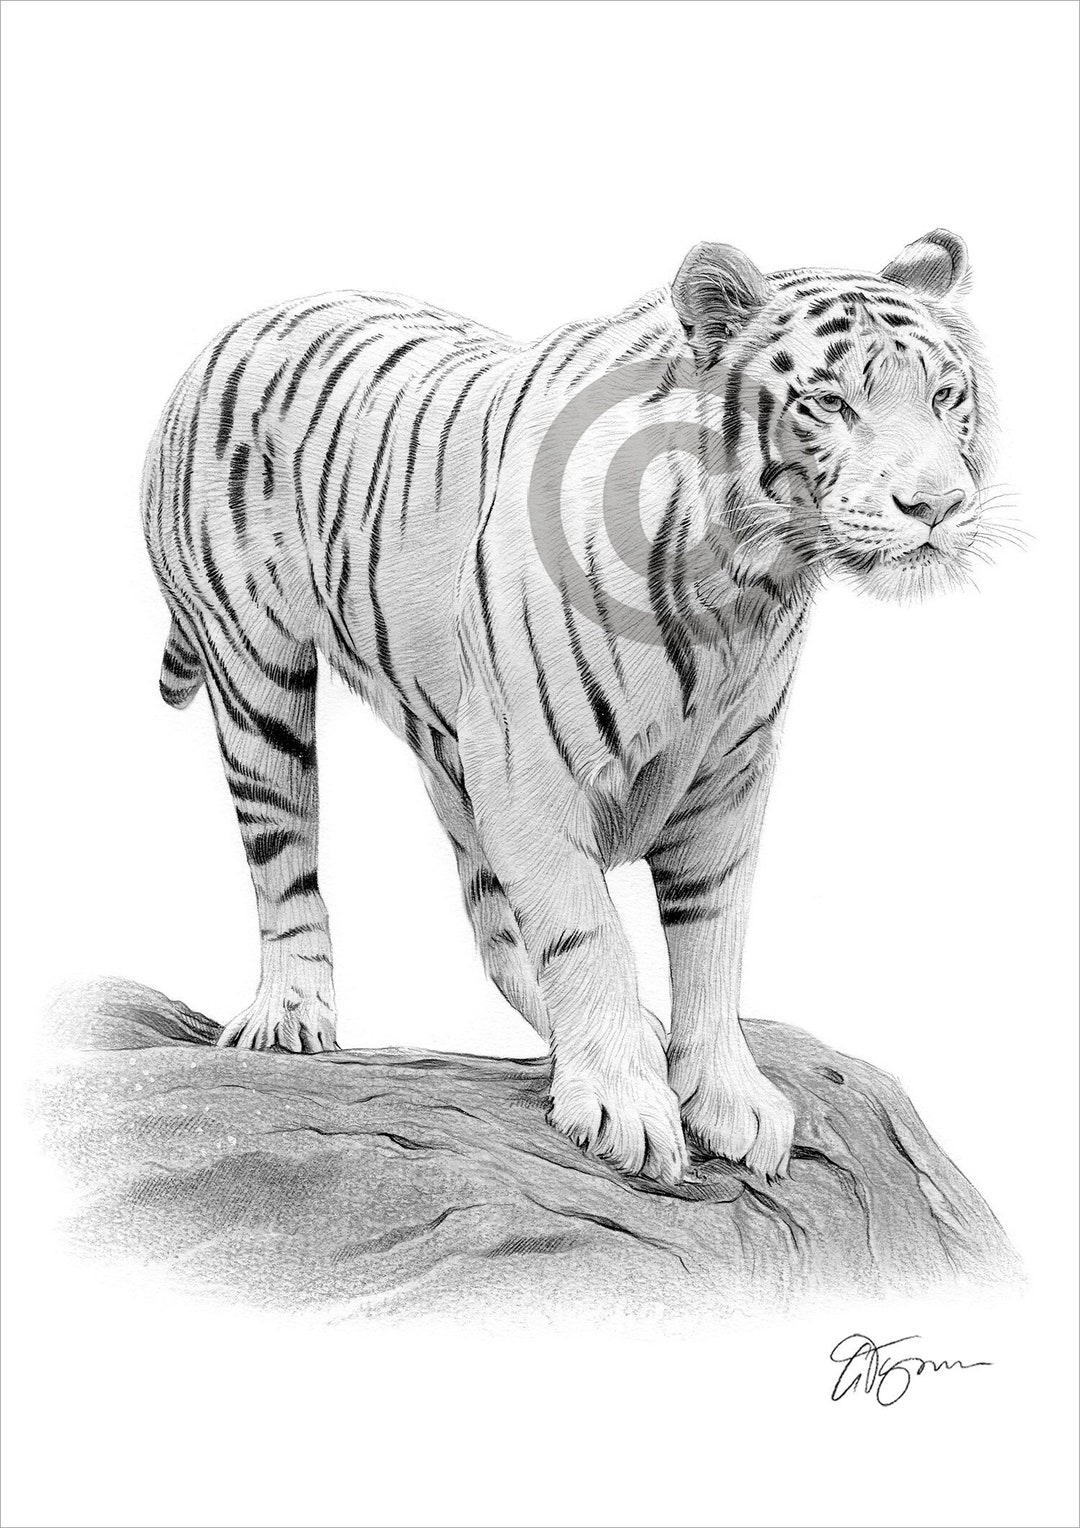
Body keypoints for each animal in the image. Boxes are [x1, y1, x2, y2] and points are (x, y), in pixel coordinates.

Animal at [142, 228, 999, 1186]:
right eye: (828, 402)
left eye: (944, 394)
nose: (937, 506)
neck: (740, 590)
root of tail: (248, 322)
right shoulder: (529, 776)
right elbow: (589, 934)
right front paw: (627, 1104)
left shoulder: (726, 786)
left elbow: (712, 941)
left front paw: (725, 1097)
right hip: (259, 682)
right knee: (284, 858)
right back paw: (292, 1014)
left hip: (452, 746)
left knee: (490, 920)